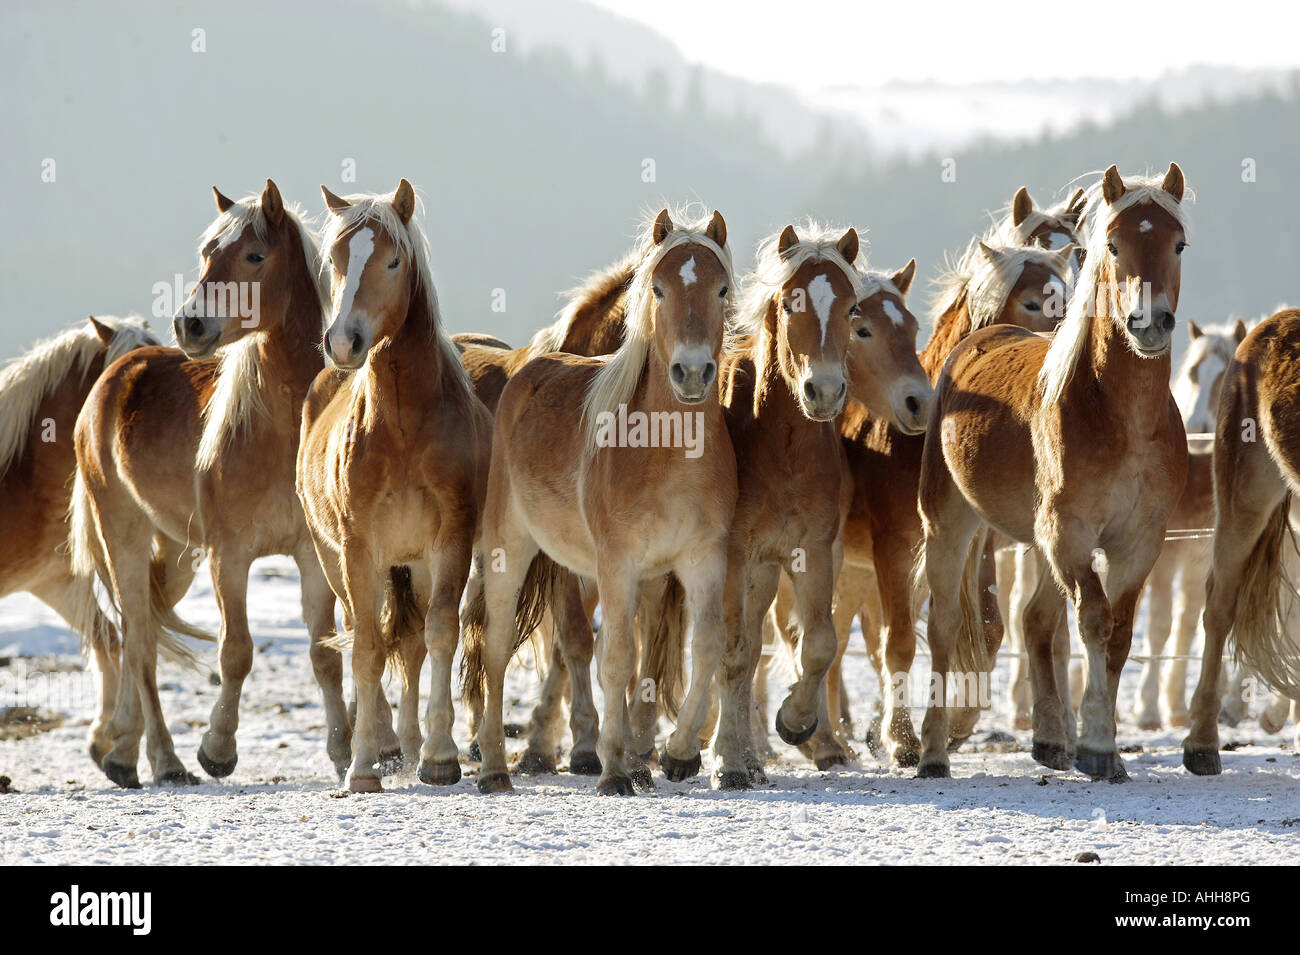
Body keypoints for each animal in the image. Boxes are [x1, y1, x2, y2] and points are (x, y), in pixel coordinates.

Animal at [69, 180, 348, 788]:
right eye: (206, 254)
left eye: (255, 256)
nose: (189, 326)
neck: (277, 430)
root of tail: (117, 372)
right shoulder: (230, 556)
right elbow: (236, 652)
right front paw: (217, 750)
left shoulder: (312, 556)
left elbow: (323, 653)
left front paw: (344, 751)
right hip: (123, 538)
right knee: (140, 644)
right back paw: (165, 761)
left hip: (175, 556)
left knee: (140, 634)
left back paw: (120, 751)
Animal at [296, 180, 492, 793]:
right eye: (336, 260)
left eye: (393, 260)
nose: (343, 342)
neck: (404, 424)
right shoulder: (359, 548)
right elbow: (365, 648)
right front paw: (362, 767)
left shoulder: (450, 542)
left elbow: (438, 635)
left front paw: (440, 757)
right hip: (336, 558)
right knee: (371, 636)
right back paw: (384, 745)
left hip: (415, 565)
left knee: (410, 644)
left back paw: (409, 743)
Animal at [466, 206, 736, 795]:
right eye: (657, 288)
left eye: (723, 288)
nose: (692, 372)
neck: (667, 454)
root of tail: (530, 370)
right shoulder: (619, 563)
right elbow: (617, 659)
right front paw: (613, 769)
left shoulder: (701, 559)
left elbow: (703, 646)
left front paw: (677, 754)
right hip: (509, 549)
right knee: (496, 649)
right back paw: (494, 766)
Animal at [916, 163, 1190, 780]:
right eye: (1112, 245)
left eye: (1179, 244)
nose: (1150, 323)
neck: (1123, 418)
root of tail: (977, 339)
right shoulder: (1070, 535)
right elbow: (1093, 622)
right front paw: (1097, 747)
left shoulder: (1139, 542)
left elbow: (1117, 634)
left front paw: (1097, 744)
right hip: (950, 525)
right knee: (945, 626)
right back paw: (932, 753)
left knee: (1037, 620)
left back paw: (1046, 740)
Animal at [1131, 320, 1245, 729]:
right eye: (1194, 373)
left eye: (1227, 374)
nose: (1198, 425)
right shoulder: (1164, 556)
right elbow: (1160, 626)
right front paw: (1149, 710)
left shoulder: (1199, 556)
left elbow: (1187, 626)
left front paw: (1178, 706)